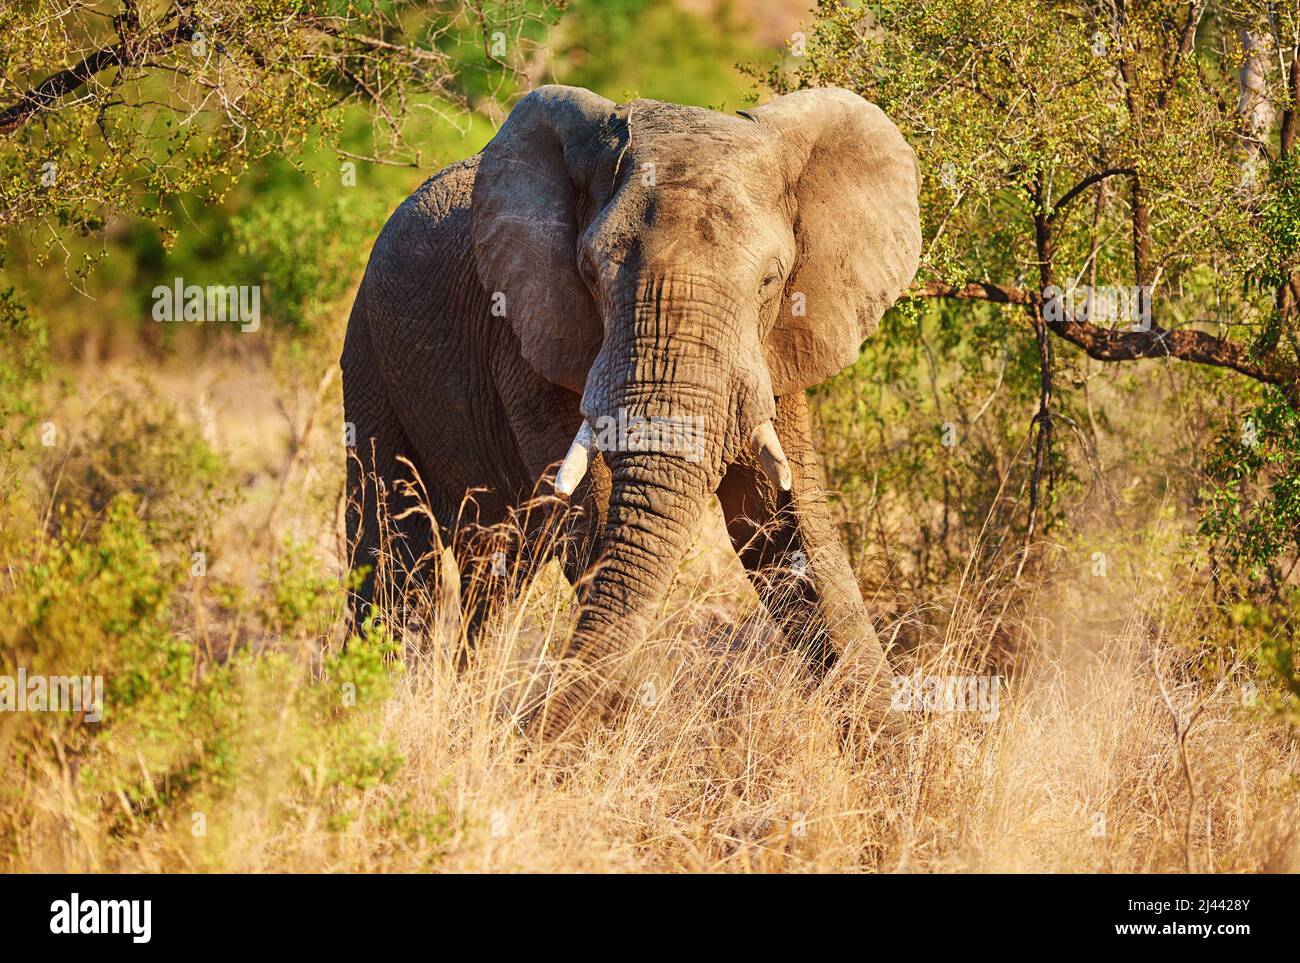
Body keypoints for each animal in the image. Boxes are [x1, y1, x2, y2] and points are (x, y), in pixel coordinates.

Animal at [341, 84, 921, 741]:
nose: (528, 735)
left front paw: (892, 749)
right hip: (368, 348)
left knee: (495, 566)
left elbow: (780, 525)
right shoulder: (529, 329)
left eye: (771, 281)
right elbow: (594, 518)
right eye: (590, 273)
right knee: (392, 553)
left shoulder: (778, 343)